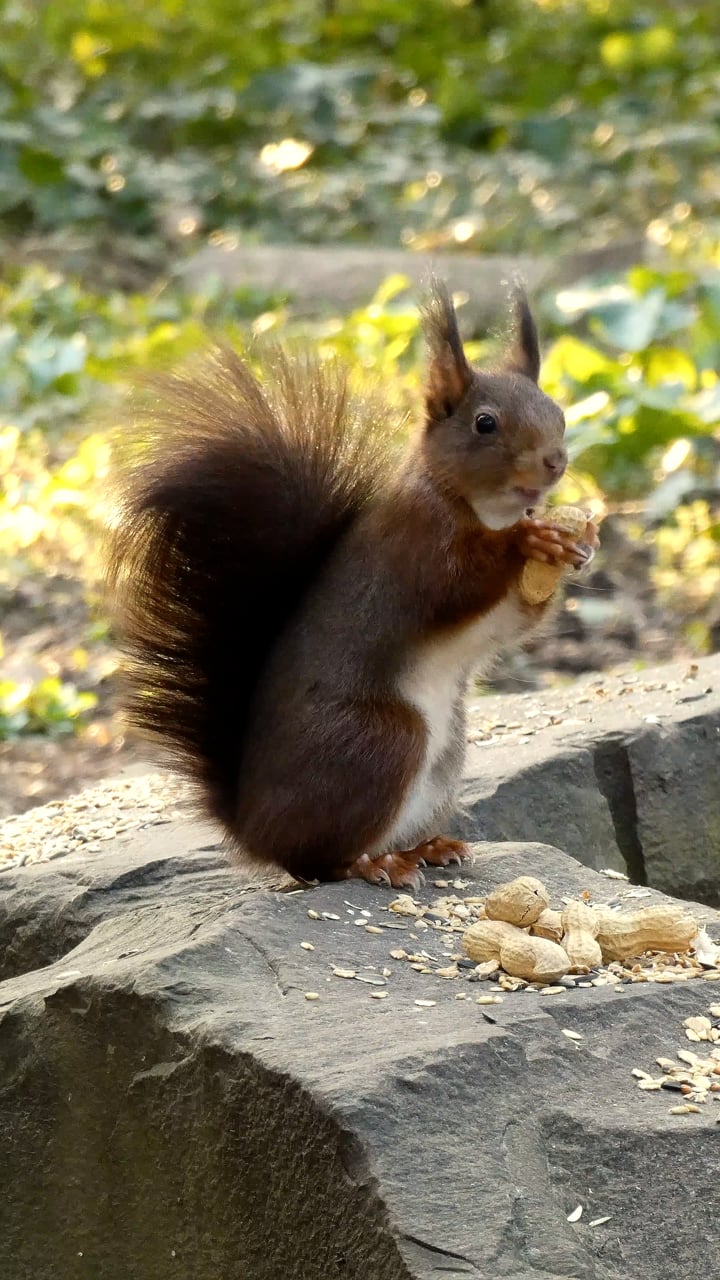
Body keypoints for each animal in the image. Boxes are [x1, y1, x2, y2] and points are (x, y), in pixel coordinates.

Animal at [106, 280, 599, 890]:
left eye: (557, 411)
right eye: (485, 423)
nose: (556, 461)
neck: (483, 508)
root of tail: (252, 828)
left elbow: (517, 619)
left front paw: (577, 545)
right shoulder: (414, 547)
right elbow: (458, 582)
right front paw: (528, 541)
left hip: (446, 758)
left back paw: (430, 847)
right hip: (381, 740)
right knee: (318, 860)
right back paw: (376, 863)